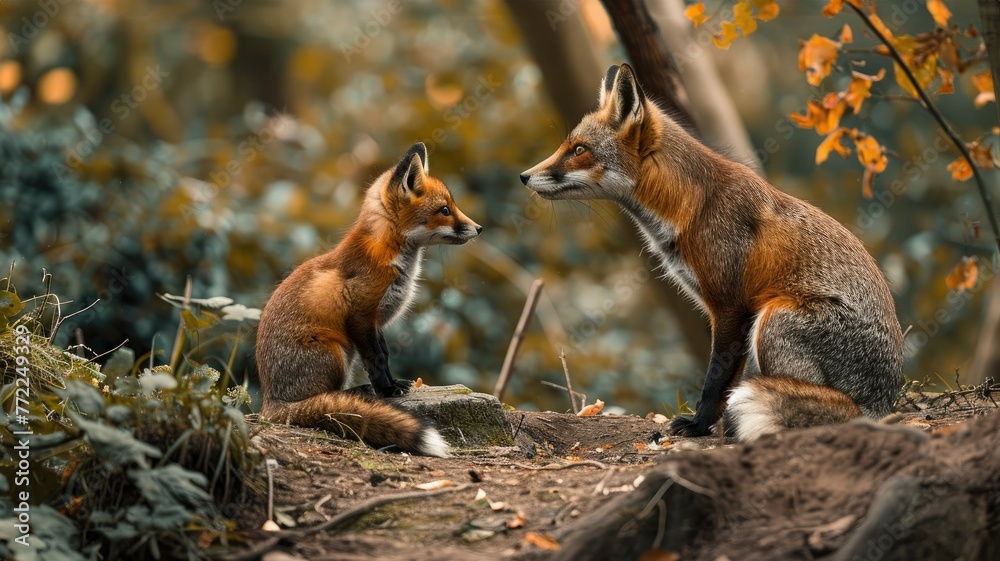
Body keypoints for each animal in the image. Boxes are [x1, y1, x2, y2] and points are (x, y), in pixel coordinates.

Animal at [256, 142, 482, 457]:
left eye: (452, 206)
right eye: (445, 210)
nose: (479, 228)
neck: (391, 257)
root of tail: (270, 403)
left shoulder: (377, 321)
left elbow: (385, 353)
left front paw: (393, 384)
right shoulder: (361, 315)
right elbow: (377, 358)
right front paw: (386, 391)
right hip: (336, 351)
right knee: (322, 399)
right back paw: (354, 394)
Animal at [520, 64, 904, 441]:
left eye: (579, 150)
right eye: (567, 146)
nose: (524, 176)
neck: (690, 206)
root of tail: (880, 404)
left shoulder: (731, 306)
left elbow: (716, 379)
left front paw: (698, 425)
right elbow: (727, 384)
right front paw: (712, 426)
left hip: (773, 317)